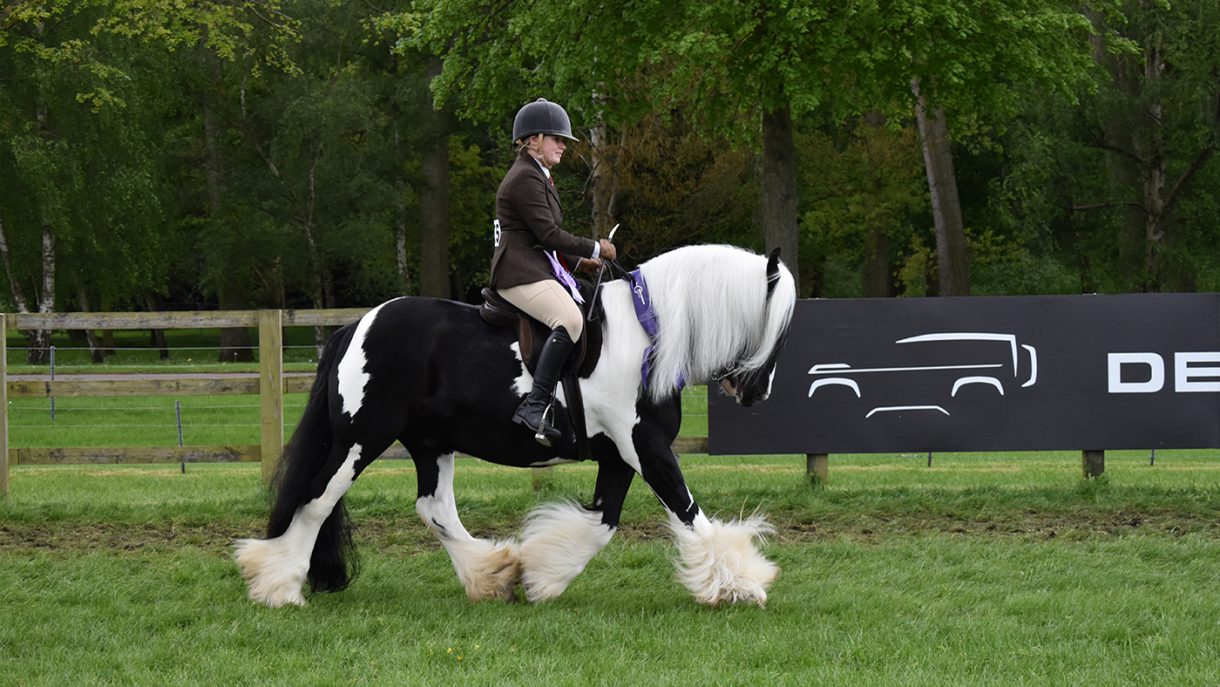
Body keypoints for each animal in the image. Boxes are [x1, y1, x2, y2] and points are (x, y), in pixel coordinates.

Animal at [234, 243, 796, 608]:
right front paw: (739, 584)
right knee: (315, 500)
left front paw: (540, 577)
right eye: (776, 326)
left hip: (430, 441)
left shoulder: (619, 455)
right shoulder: (646, 446)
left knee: (434, 508)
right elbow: (689, 513)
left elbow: (601, 524)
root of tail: (356, 326)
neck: (646, 335)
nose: (759, 391)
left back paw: (493, 576)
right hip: (362, 437)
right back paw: (280, 587)